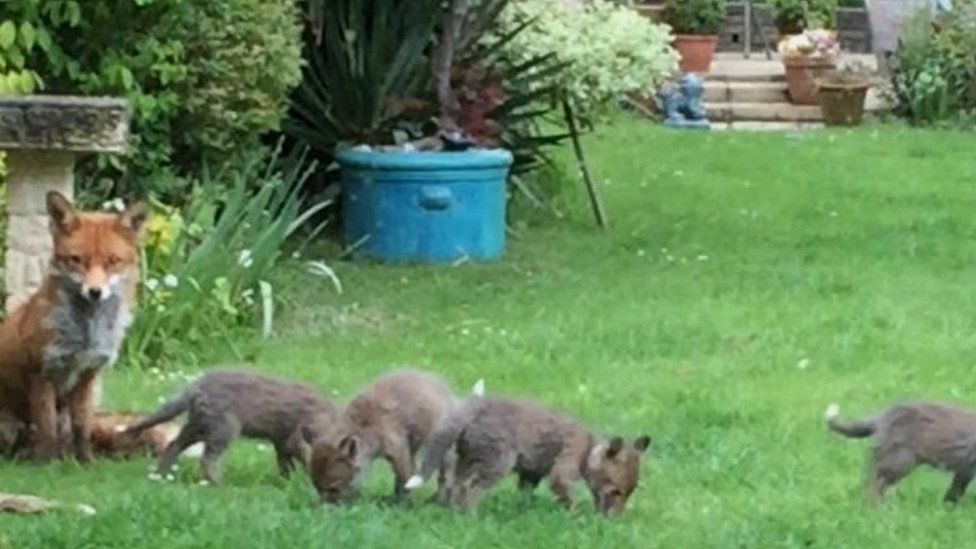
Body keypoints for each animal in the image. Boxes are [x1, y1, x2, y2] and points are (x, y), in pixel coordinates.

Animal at [0, 192, 148, 462]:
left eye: (113, 261)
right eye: (77, 260)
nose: (95, 291)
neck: (85, 334)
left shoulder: (86, 377)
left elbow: (82, 428)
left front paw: (85, 463)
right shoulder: (40, 372)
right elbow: (47, 428)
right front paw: (47, 465)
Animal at [125, 369, 338, 484]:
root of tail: (195, 385)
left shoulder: (281, 441)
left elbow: (285, 464)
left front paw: (287, 480)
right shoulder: (291, 439)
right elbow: (297, 459)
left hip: (198, 427)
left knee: (173, 446)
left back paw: (161, 475)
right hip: (223, 430)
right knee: (207, 460)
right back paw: (218, 483)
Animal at [303, 369, 468, 505]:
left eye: (333, 489)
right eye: (317, 488)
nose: (326, 511)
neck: (367, 427)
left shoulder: (398, 450)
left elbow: (404, 481)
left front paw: (403, 506)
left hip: (437, 446)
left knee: (446, 475)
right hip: (413, 447)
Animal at [405, 396, 651, 516]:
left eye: (630, 492)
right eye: (615, 492)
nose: (615, 520)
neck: (588, 447)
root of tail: (475, 407)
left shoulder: (531, 474)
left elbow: (525, 497)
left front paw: (525, 512)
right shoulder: (561, 473)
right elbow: (570, 502)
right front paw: (578, 520)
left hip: (466, 460)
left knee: (453, 487)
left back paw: (452, 512)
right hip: (497, 464)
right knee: (469, 488)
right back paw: (471, 517)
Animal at [826, 402, 976, 503]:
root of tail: (883, 415)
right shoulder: (966, 468)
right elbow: (956, 492)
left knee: (869, 480)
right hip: (898, 463)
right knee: (875, 484)